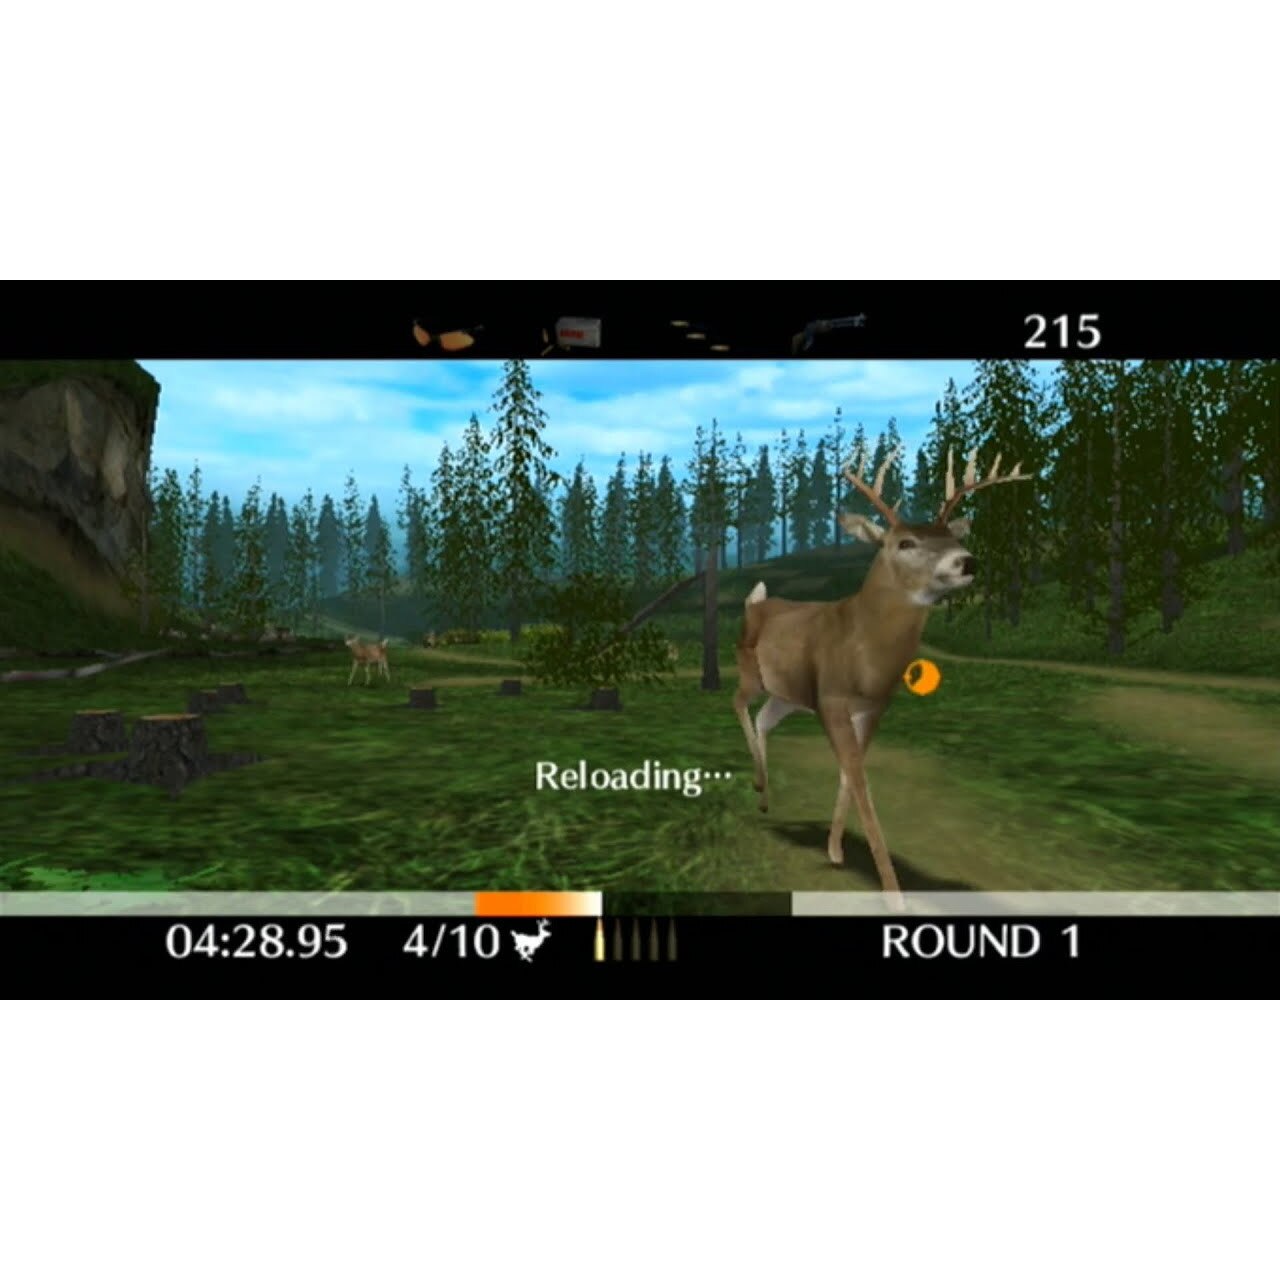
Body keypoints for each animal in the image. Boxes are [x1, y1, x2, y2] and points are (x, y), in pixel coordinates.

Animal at [733, 446, 1031, 906]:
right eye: (905, 542)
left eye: (955, 539)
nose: (967, 561)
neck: (864, 652)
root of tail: (755, 603)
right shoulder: (832, 699)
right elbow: (860, 782)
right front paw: (894, 894)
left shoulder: (873, 705)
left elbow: (847, 775)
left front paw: (836, 851)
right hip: (750, 671)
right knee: (739, 704)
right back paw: (759, 788)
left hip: (789, 694)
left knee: (765, 719)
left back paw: (765, 796)